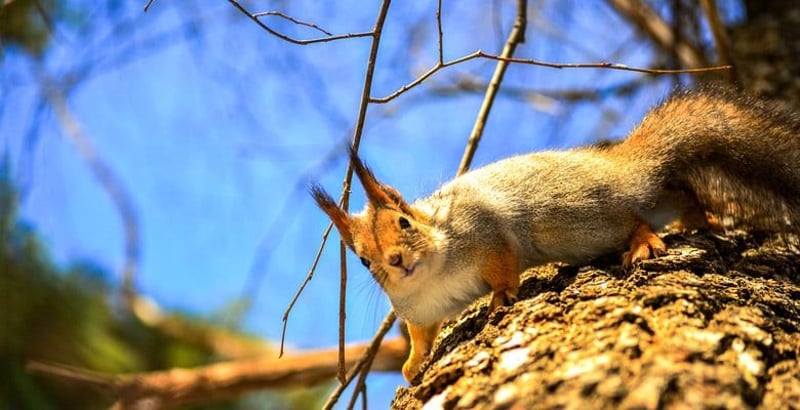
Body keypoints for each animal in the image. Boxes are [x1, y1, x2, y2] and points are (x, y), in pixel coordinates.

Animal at [311, 85, 800, 382]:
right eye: (362, 260)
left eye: (404, 223)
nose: (395, 262)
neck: (435, 271)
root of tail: (623, 167)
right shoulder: (419, 310)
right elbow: (421, 335)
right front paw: (413, 365)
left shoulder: (486, 233)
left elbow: (503, 265)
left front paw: (501, 296)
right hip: (640, 204)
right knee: (678, 194)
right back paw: (698, 219)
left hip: (579, 218)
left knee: (633, 218)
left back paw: (643, 242)